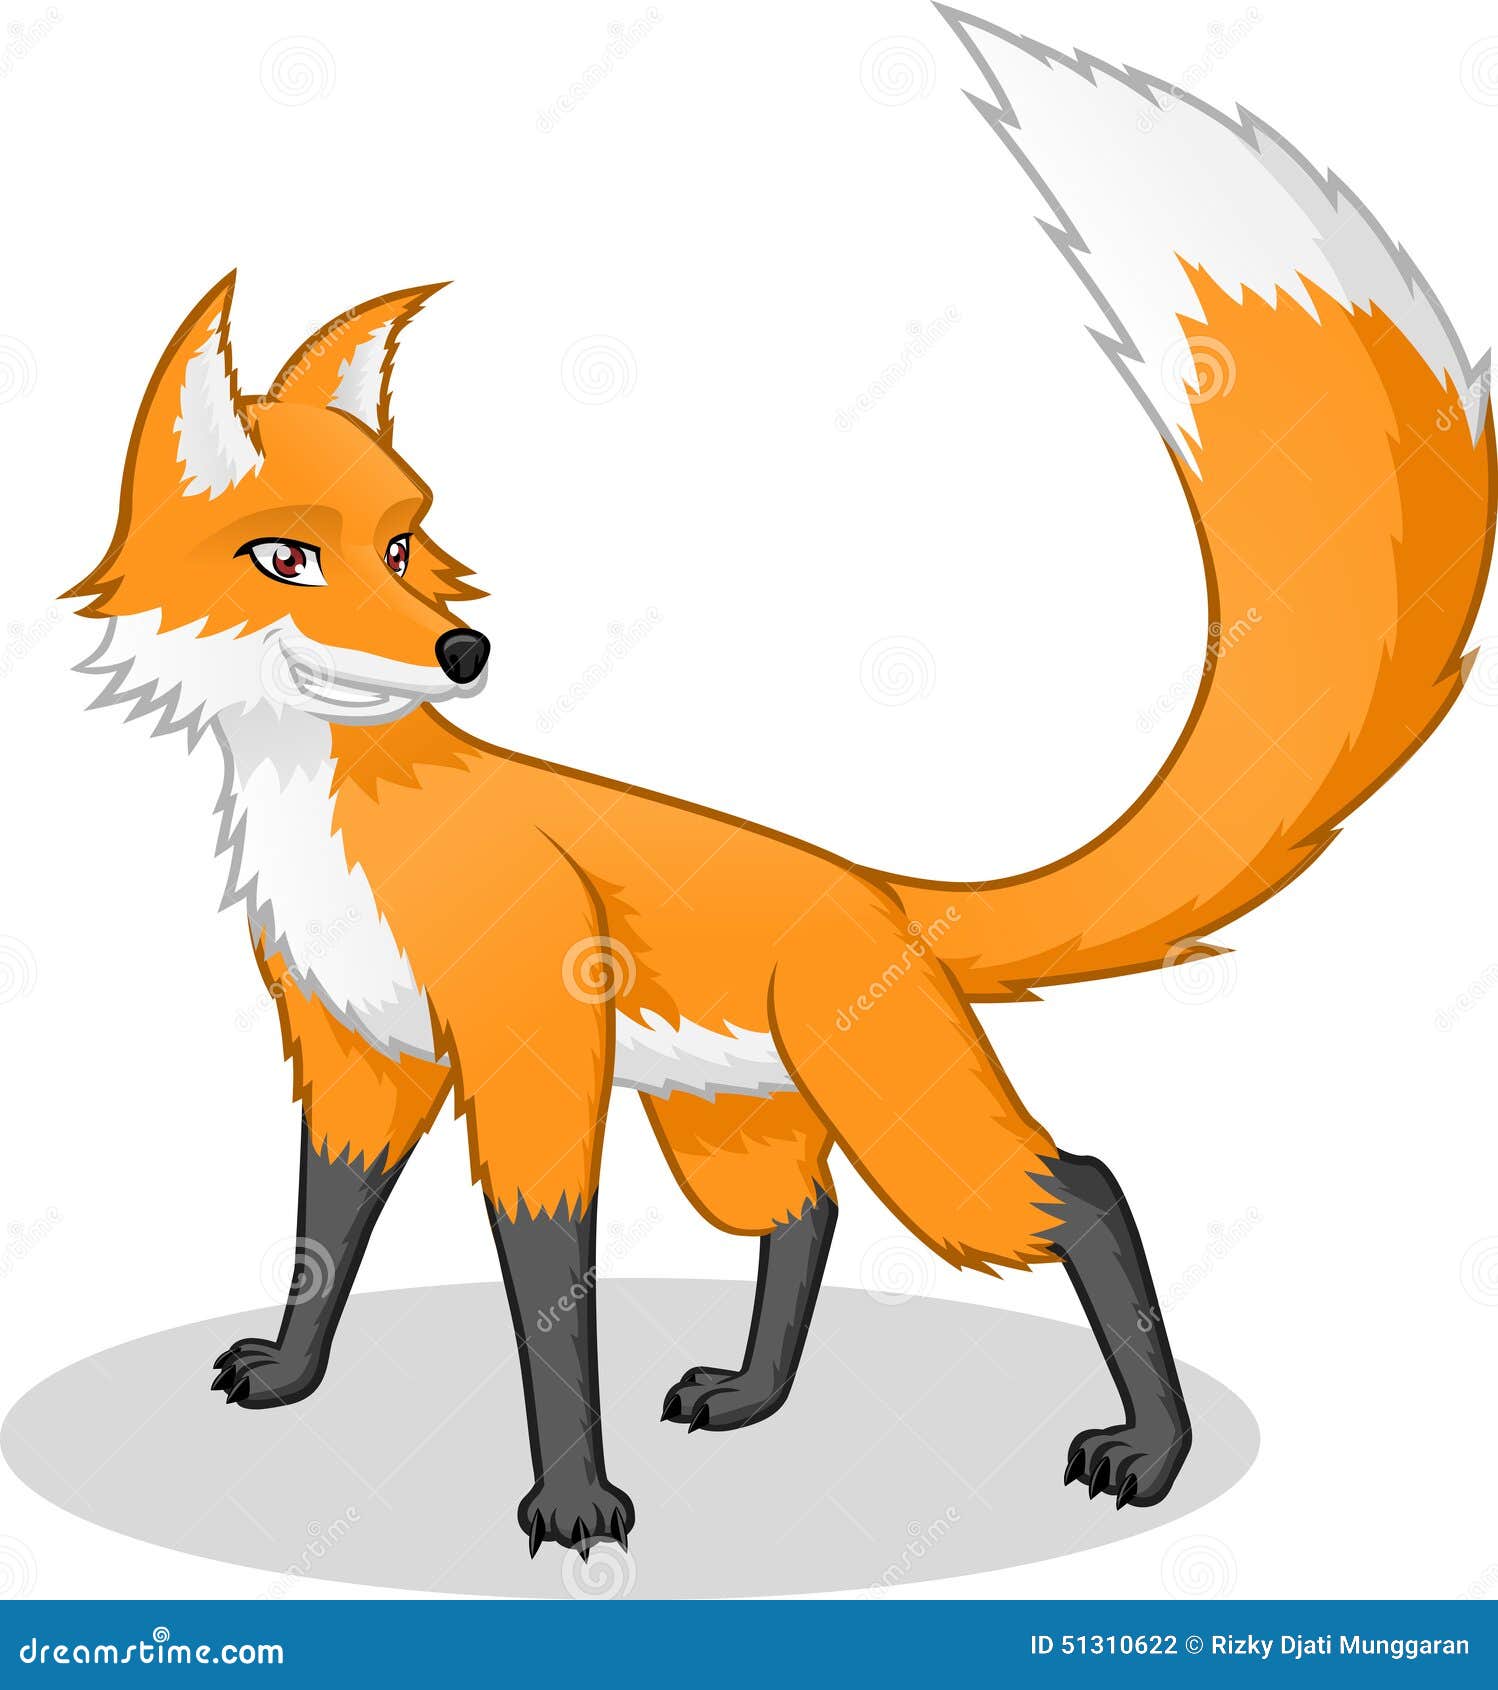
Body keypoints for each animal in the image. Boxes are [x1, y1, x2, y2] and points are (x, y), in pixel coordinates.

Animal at [68, 9, 1494, 1564]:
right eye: (286, 557)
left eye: (400, 546)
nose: (464, 650)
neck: (338, 811)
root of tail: (881, 893)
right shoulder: (358, 1056)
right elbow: (324, 1240)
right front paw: (290, 1375)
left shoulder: (528, 1057)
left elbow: (547, 1301)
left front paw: (576, 1502)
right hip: (728, 1121)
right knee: (805, 1216)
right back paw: (754, 1397)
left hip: (911, 1135)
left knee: (1083, 1191)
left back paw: (1150, 1450)